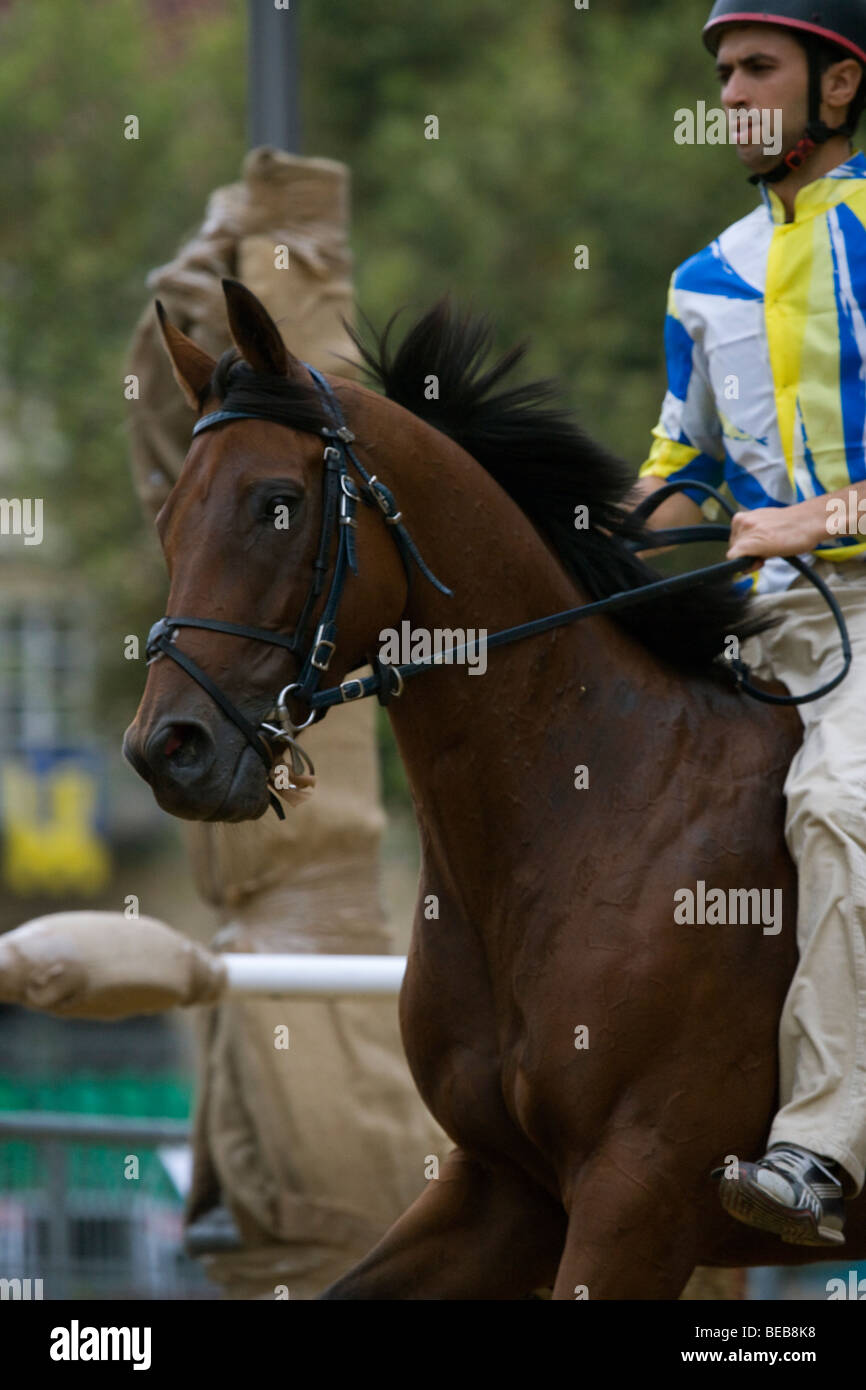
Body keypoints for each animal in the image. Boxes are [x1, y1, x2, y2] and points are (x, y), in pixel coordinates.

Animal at [123, 278, 866, 1298]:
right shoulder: (505, 1185)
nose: (169, 749)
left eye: (276, 502)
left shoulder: (640, 1195)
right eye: (168, 521)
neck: (595, 814)